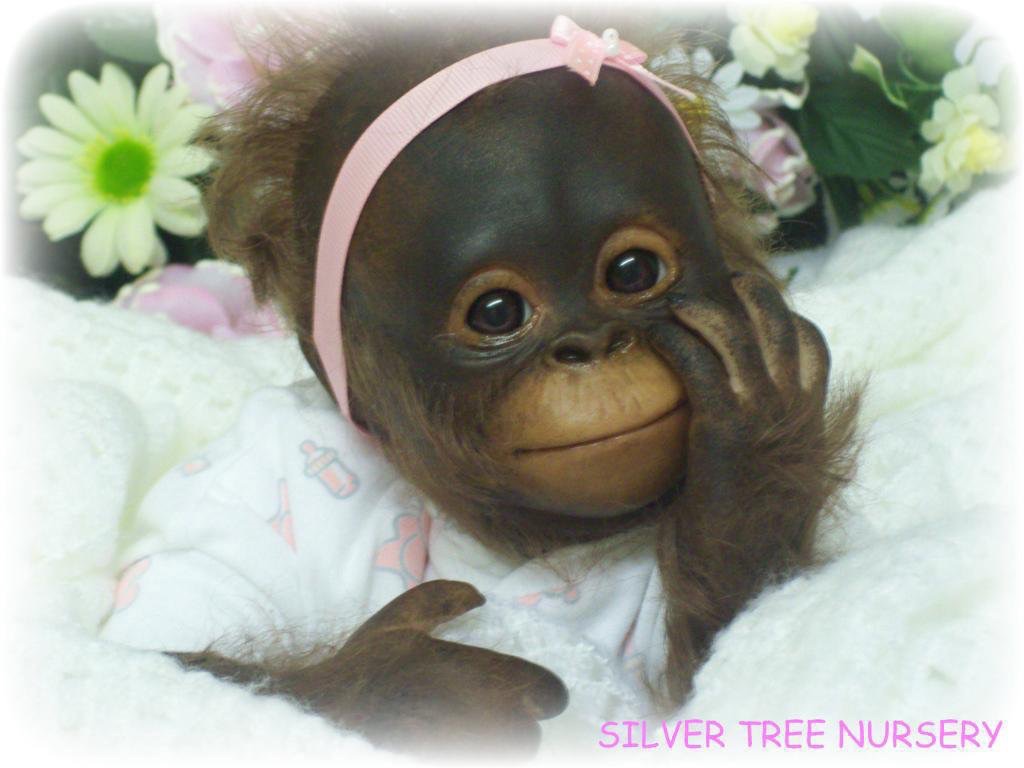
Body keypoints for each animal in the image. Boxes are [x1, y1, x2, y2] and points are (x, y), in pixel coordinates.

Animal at [101, 8, 861, 758]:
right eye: (497, 313)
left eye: (633, 272)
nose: (592, 345)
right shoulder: (254, 467)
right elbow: (146, 654)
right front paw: (406, 687)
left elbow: (711, 683)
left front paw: (751, 447)